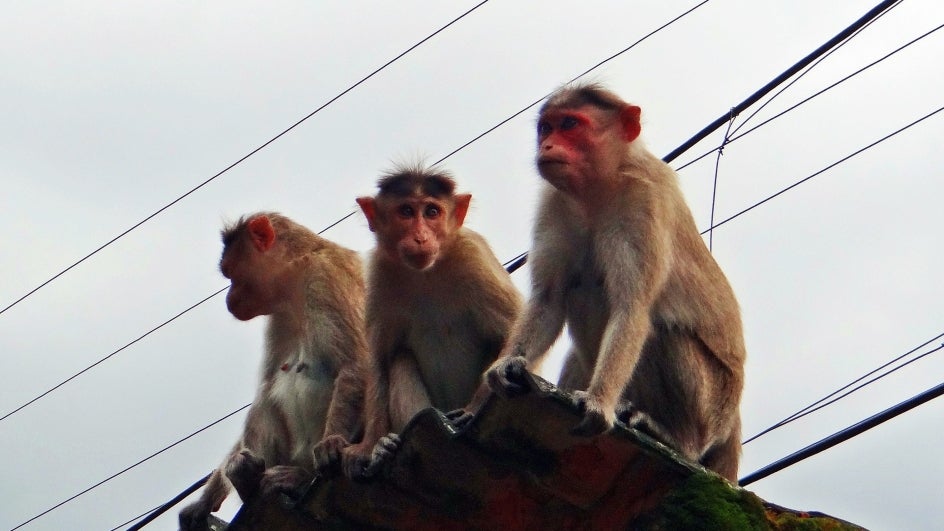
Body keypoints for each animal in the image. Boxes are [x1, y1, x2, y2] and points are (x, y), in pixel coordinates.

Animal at [179, 212, 367, 530]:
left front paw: (332, 445)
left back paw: (299, 480)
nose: (228, 298)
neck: (296, 277)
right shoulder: (278, 316)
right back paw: (247, 480)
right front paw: (203, 502)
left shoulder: (327, 277)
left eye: (232, 272)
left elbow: (358, 361)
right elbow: (268, 385)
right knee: (265, 400)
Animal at [339, 165, 522, 479]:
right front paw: (370, 447)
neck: (425, 272)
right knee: (400, 359)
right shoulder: (379, 274)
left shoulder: (474, 255)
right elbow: (380, 361)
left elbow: (514, 327)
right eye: (406, 211)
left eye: (432, 212)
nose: (421, 237)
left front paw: (475, 409)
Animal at [485, 83, 746, 481]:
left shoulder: (644, 203)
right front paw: (504, 366)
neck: (599, 188)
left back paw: (677, 438)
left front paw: (598, 402)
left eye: (570, 125)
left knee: (662, 331)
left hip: (713, 406)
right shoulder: (554, 203)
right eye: (546, 128)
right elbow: (549, 299)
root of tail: (732, 424)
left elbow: (632, 307)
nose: (547, 146)